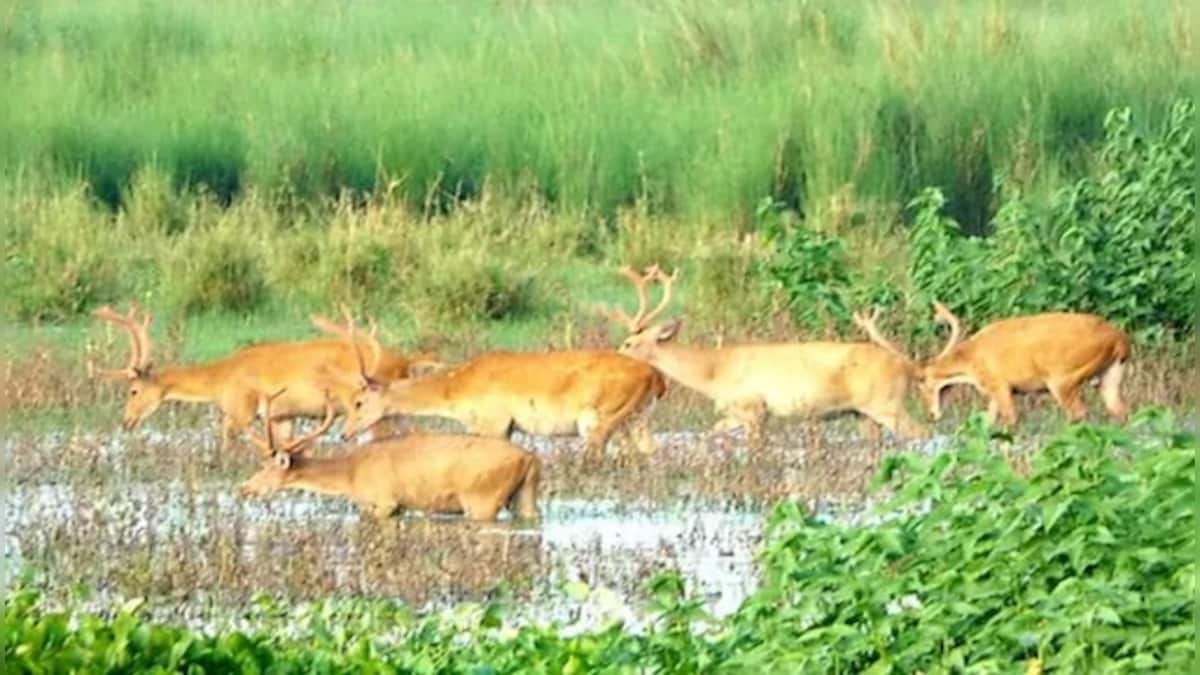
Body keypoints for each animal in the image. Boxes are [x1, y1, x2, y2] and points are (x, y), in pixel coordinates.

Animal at [89, 303, 439, 454]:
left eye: (133, 391)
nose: (126, 421)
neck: (221, 376)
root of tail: (406, 361)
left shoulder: (240, 410)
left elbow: (228, 441)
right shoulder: (283, 415)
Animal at [239, 390, 541, 522]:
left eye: (267, 467)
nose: (244, 488)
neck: (351, 475)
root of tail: (530, 458)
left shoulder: (384, 500)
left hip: (482, 498)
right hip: (525, 493)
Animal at [335, 317, 668, 465]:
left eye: (359, 402)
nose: (344, 434)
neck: (457, 387)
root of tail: (655, 376)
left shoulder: (492, 424)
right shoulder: (506, 429)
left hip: (601, 421)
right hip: (639, 419)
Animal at [600, 264, 929, 449]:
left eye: (629, 342)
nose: (614, 356)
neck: (714, 372)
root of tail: (908, 365)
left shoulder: (754, 408)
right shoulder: (735, 413)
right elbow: (710, 433)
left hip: (886, 403)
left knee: (922, 432)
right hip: (864, 414)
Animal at [855, 301, 1131, 427]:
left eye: (922, 383)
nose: (931, 415)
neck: (971, 361)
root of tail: (1120, 340)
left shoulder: (1000, 384)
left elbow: (1010, 421)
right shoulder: (992, 393)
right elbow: (988, 422)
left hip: (1063, 378)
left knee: (1079, 413)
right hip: (1112, 375)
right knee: (1121, 411)